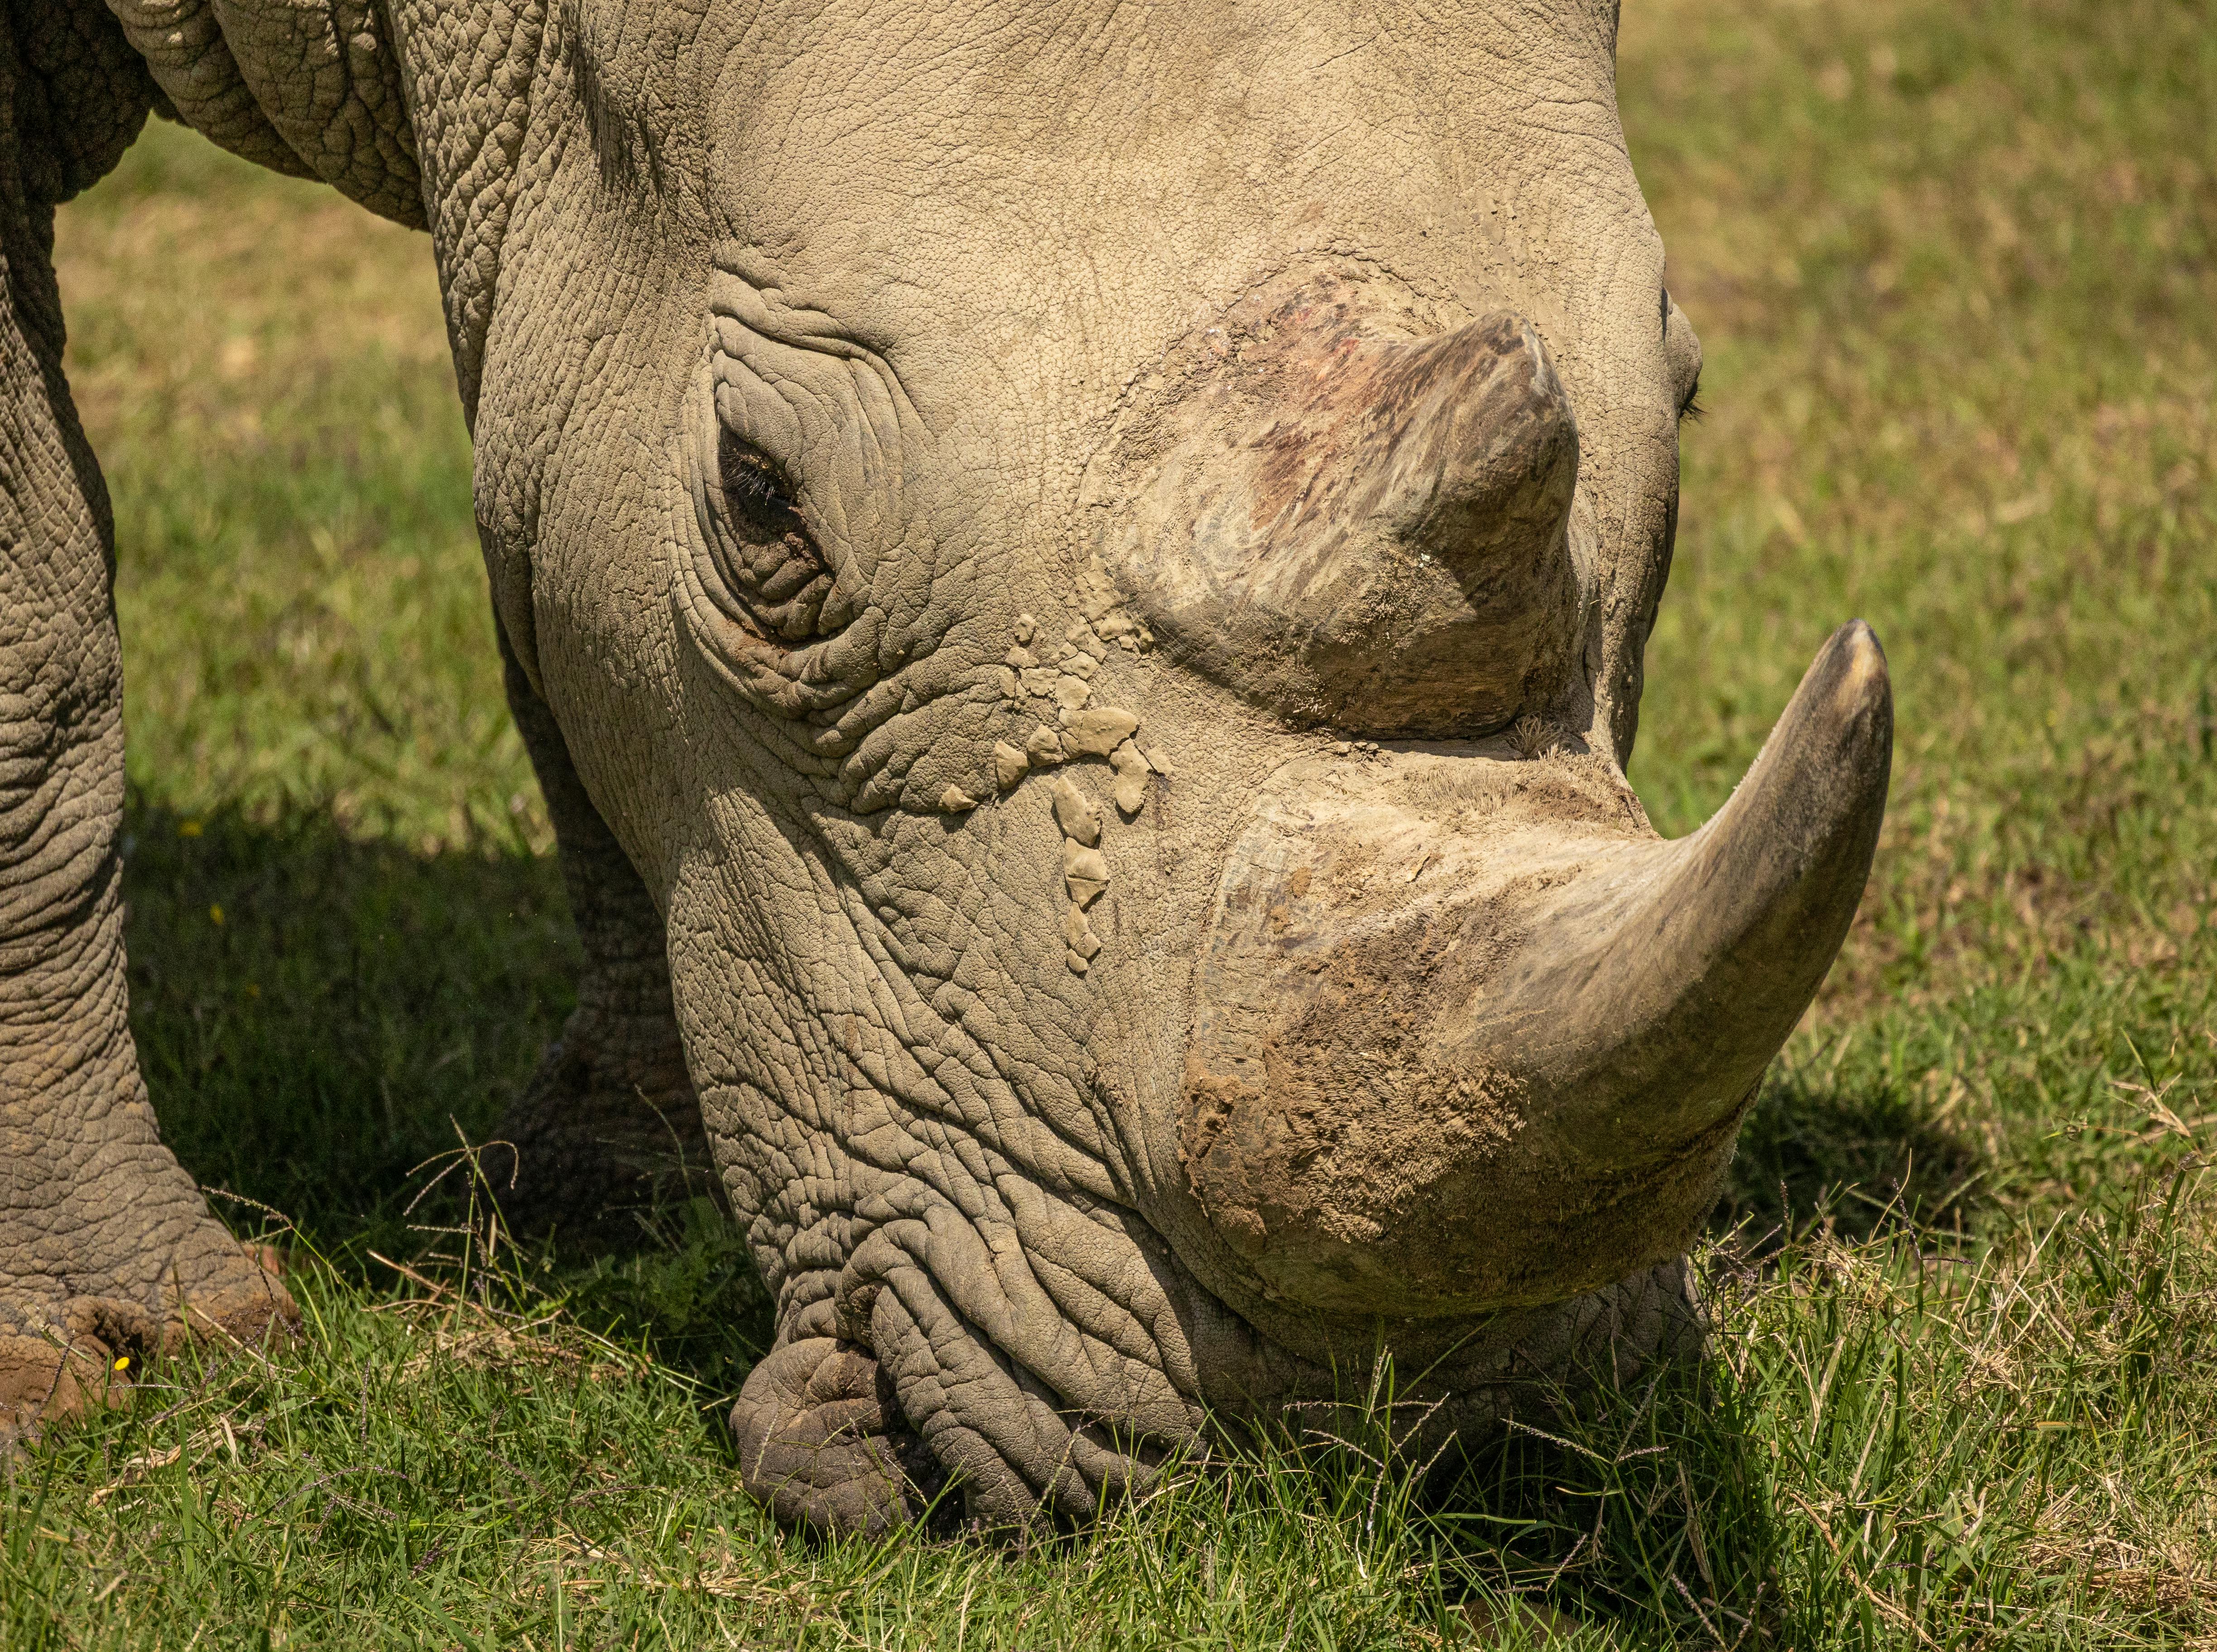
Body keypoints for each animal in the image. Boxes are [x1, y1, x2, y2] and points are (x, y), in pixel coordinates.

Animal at [0, 0, 1890, 1533]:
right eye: (759, 498)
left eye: (1688, 401)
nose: (1378, 1432)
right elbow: (37, 645)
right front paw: (121, 1349)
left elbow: (545, 580)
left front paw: (614, 1200)